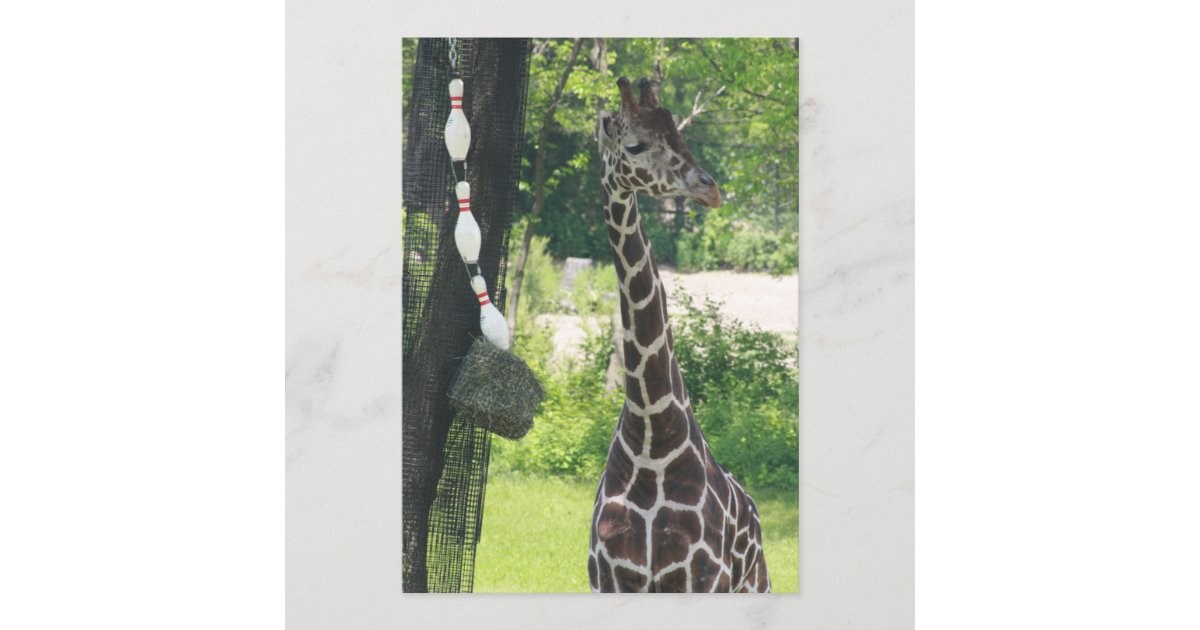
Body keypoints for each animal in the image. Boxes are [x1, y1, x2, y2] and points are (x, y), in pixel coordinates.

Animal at [587, 77, 770, 593]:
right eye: (634, 144)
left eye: (681, 137)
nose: (711, 190)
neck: (652, 436)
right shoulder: (608, 577)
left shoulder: (697, 577)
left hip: (754, 583)